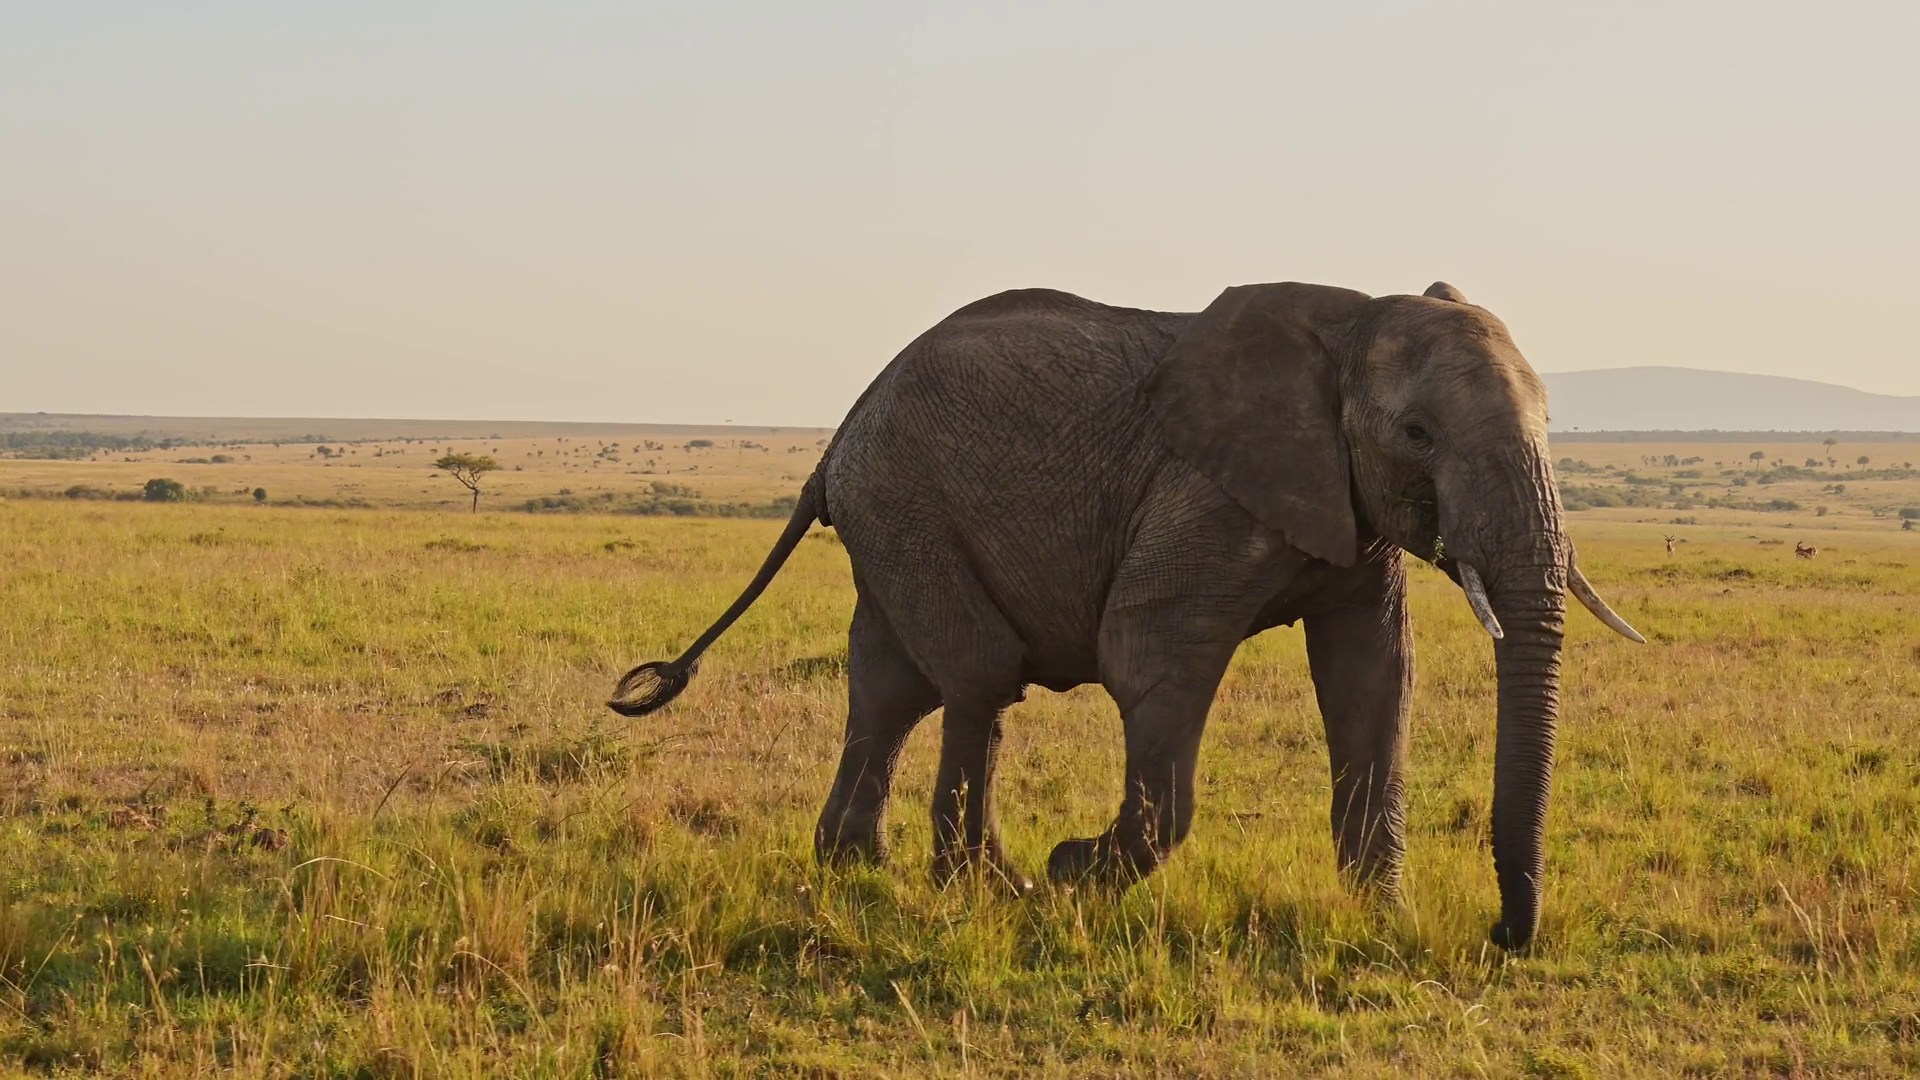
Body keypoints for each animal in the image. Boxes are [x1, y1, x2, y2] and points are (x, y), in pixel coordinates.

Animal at [609, 280, 1645, 950]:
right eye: (1418, 434)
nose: (1504, 935)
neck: (1348, 323)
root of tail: (836, 440)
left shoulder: (1348, 510)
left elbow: (1373, 679)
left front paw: (1382, 925)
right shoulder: (1209, 492)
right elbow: (1151, 655)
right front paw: (1076, 871)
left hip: (891, 518)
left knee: (894, 688)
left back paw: (859, 874)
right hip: (904, 504)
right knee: (977, 678)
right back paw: (994, 886)